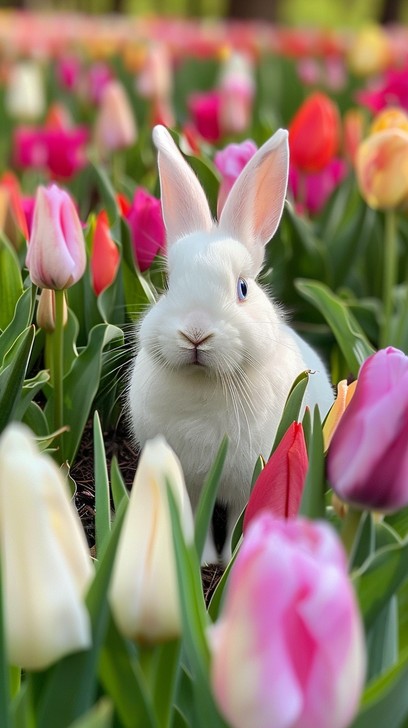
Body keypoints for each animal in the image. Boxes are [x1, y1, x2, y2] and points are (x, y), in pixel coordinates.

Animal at [127, 125, 334, 564]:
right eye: (168, 285)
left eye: (242, 288)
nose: (195, 333)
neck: (206, 384)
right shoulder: (188, 480)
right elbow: (197, 517)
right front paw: (202, 558)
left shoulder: (250, 475)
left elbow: (241, 516)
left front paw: (231, 559)